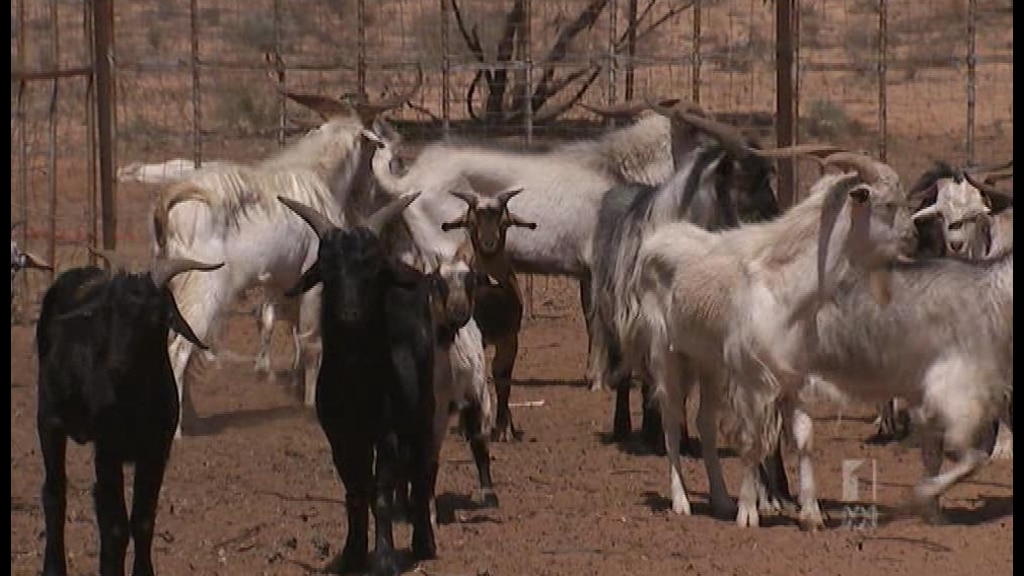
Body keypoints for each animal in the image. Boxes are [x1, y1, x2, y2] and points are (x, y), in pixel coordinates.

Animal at [36, 256, 221, 576]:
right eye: (108, 314)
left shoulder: (156, 454)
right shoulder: (108, 451)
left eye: (155, 316)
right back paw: (54, 567)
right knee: (54, 493)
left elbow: (143, 521)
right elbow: (117, 528)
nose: (115, 364)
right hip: (49, 419)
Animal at [150, 76, 419, 437]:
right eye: (375, 146)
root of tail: (173, 199)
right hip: (202, 291)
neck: (320, 175)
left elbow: (276, 324)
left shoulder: (281, 282)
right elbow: (310, 340)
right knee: (178, 348)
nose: (374, 186)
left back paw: (192, 419)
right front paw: (311, 405)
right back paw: (178, 429)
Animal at [277, 192, 438, 576]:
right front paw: (352, 553)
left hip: (424, 408)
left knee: (422, 469)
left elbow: (380, 492)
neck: (357, 385)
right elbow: (355, 490)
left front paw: (384, 558)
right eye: (328, 269)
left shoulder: (388, 433)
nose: (349, 315)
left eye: (372, 270)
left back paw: (423, 542)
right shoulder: (341, 435)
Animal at [440, 188, 538, 442]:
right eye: (472, 222)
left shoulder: (509, 337)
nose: (488, 243)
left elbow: (502, 375)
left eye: (504, 223)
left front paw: (504, 429)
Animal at [624, 146, 916, 528]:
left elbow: (805, 438)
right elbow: (751, 440)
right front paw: (749, 512)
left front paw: (812, 513)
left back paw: (721, 501)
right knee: (672, 419)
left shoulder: (795, 379)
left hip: (709, 364)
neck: (786, 290)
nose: (915, 239)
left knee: (704, 423)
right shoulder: (751, 380)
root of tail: (656, 240)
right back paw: (682, 501)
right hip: (667, 354)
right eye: (887, 203)